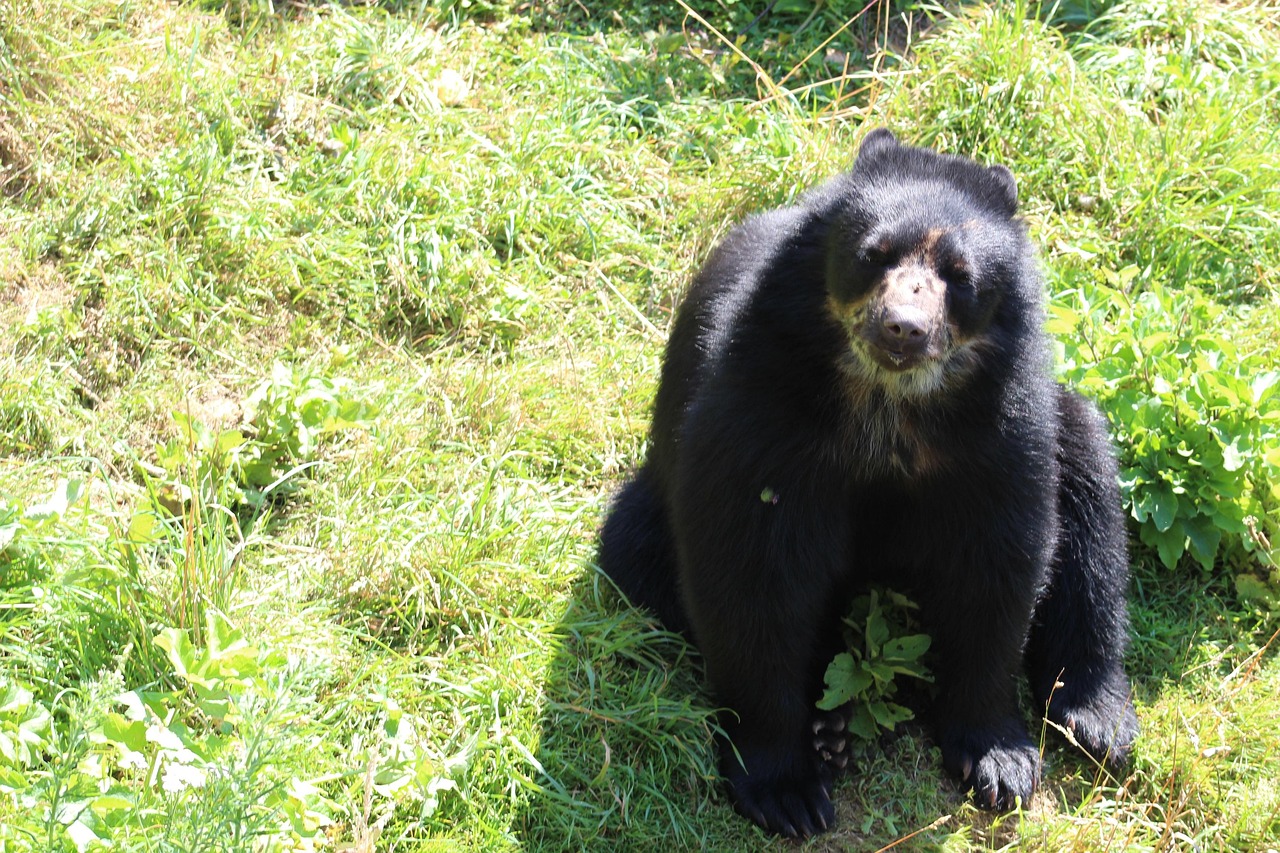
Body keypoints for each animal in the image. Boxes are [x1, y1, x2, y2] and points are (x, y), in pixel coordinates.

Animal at [598, 129, 1139, 838]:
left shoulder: (998, 437)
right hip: (645, 515)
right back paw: (826, 730)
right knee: (639, 560)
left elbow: (996, 569)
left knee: (1092, 514)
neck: (888, 406)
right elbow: (751, 571)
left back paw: (1097, 719)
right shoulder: (759, 415)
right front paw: (785, 788)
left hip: (1068, 430)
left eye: (960, 277)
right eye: (872, 256)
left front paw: (999, 762)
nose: (903, 326)